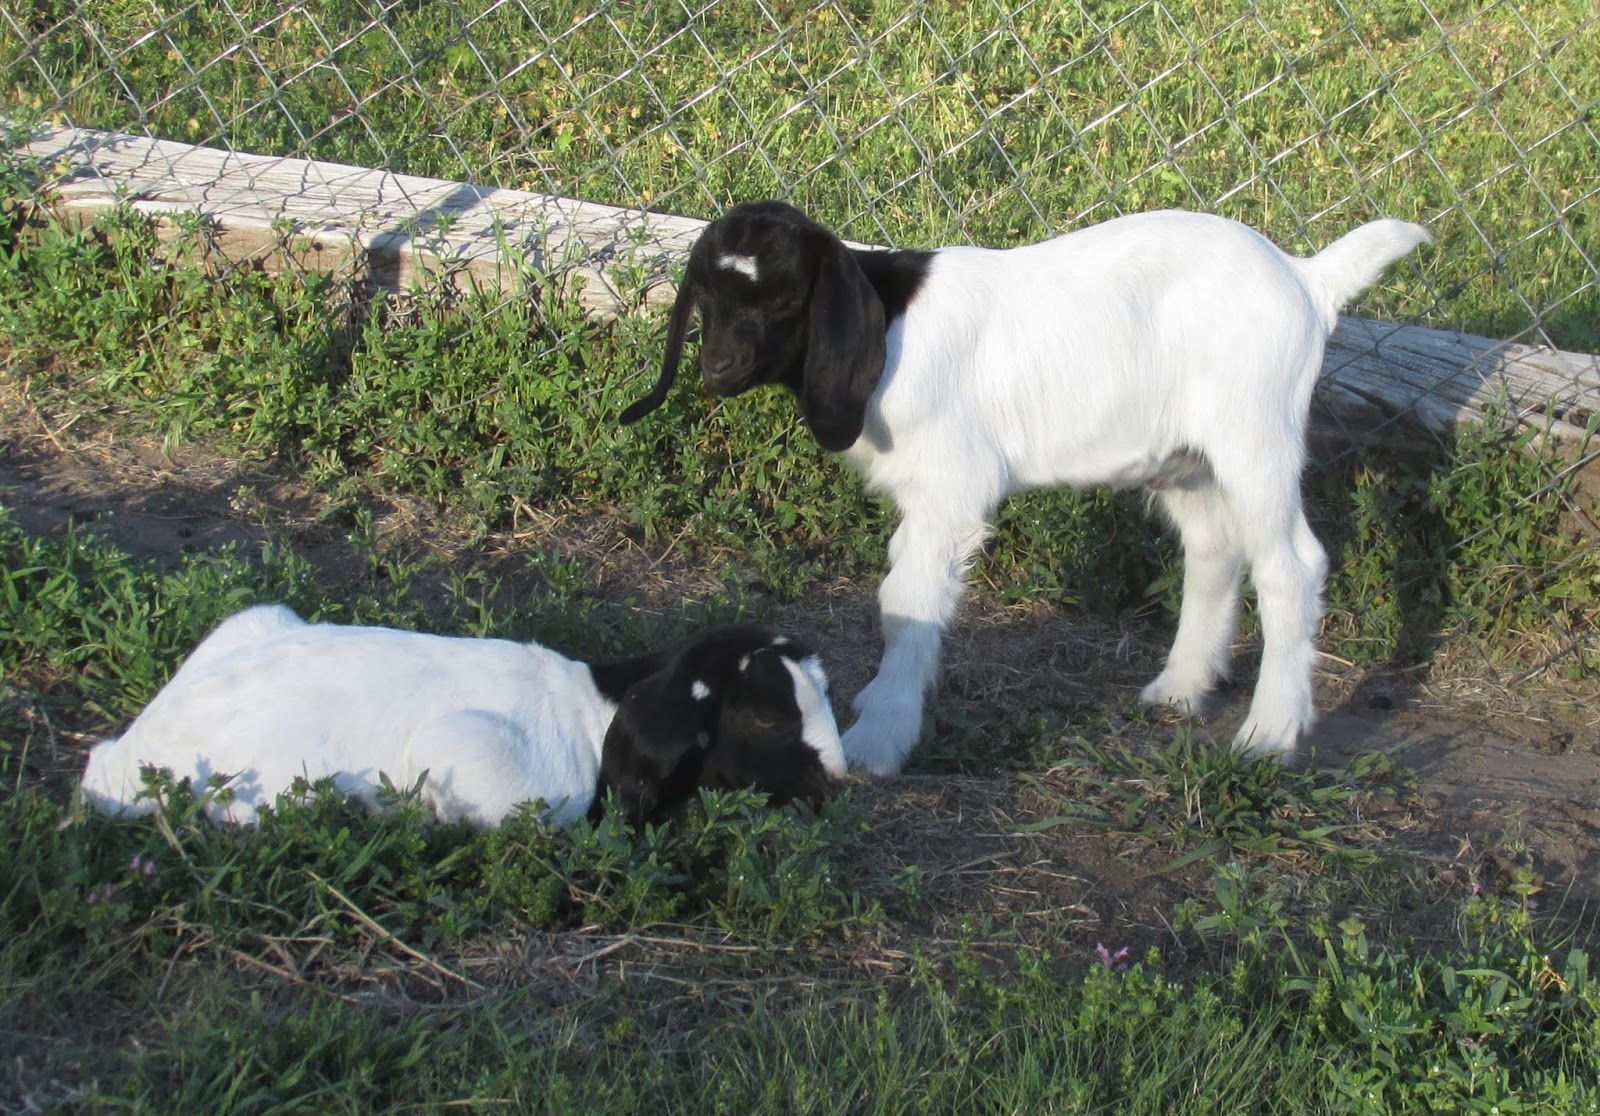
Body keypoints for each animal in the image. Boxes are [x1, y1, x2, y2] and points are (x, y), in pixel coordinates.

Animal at [621, 201, 1430, 774]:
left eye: (786, 301)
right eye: (707, 297)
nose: (716, 370)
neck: (887, 326)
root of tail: (1306, 279)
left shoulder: (948, 489)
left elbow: (906, 602)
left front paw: (879, 738)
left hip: (1255, 433)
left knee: (1292, 566)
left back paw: (1270, 732)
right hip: (1190, 459)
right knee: (1213, 552)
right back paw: (1179, 687)